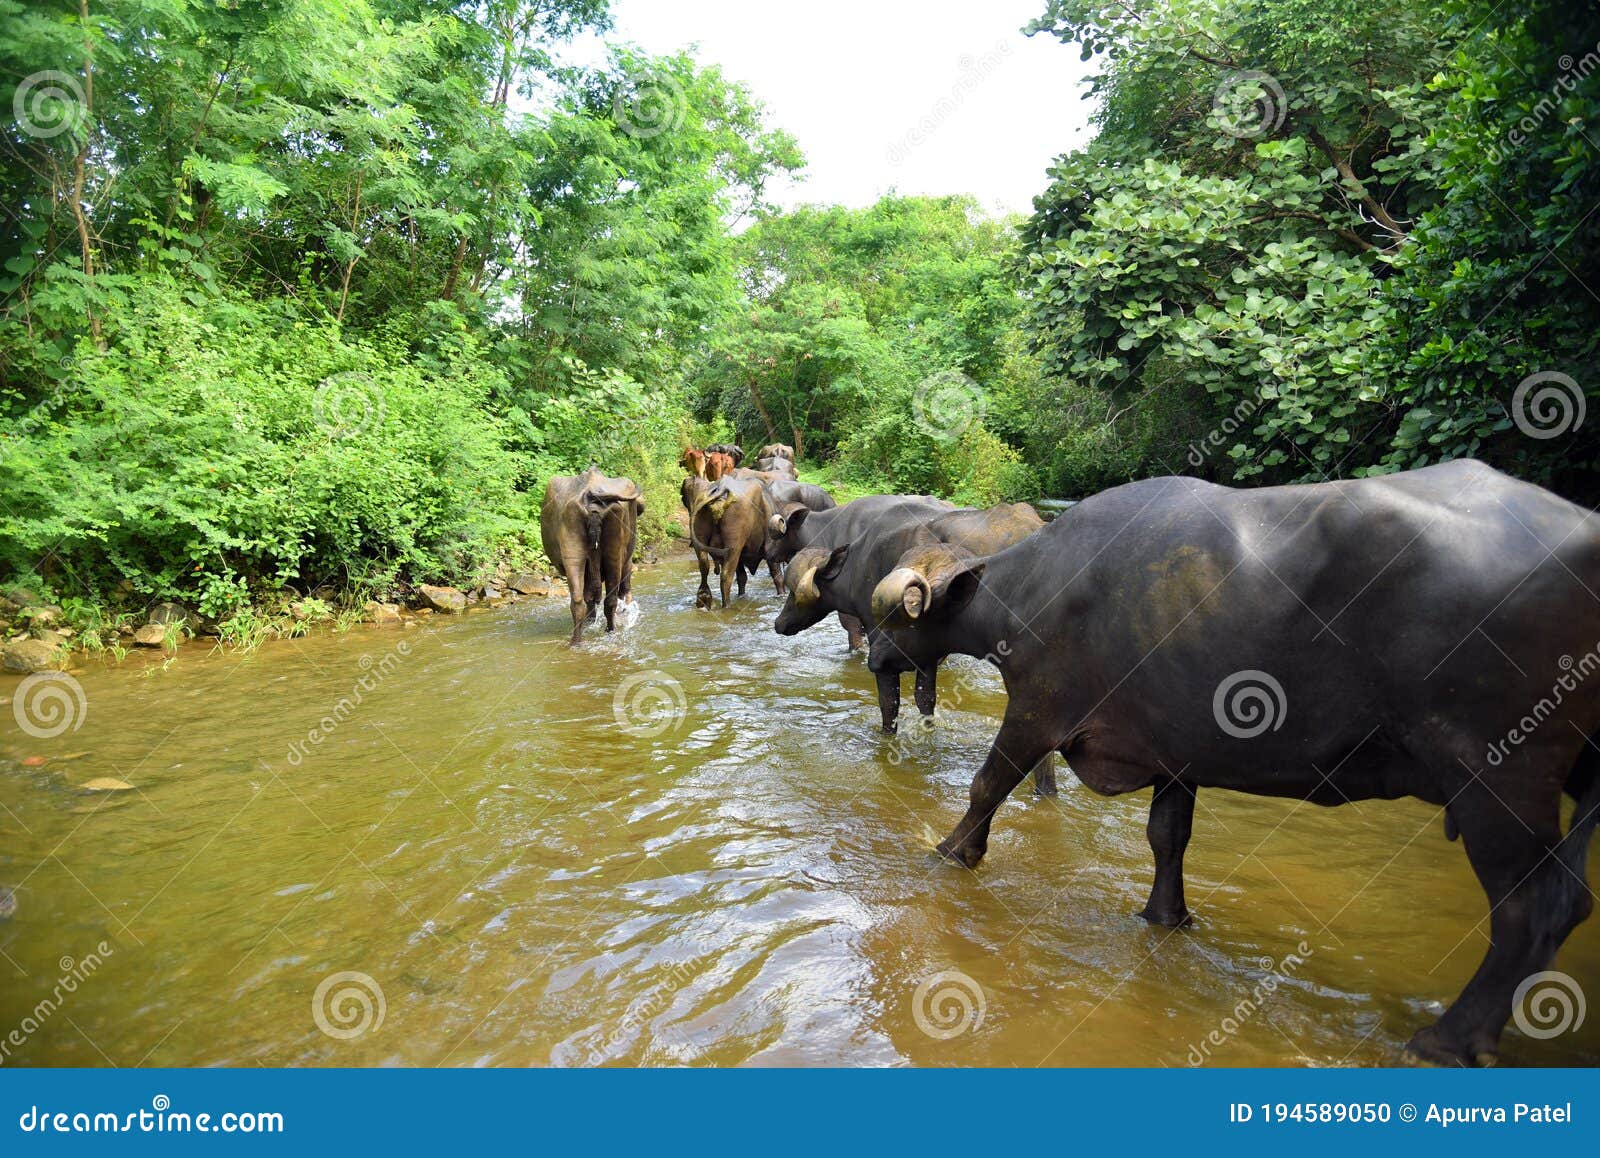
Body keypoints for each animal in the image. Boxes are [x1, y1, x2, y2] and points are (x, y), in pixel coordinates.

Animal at [540, 468, 643, 644]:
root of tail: (591, 496)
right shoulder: (628, 562)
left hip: (574, 554)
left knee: (579, 601)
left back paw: (577, 641)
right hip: (614, 556)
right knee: (609, 600)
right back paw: (609, 631)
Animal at [876, 460, 1600, 1066]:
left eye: (894, 616)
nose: (873, 653)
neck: (1034, 588)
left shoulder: (1038, 708)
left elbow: (988, 784)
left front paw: (952, 850)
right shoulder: (1175, 751)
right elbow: (1168, 837)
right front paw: (1165, 916)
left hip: (1497, 774)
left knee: (1533, 907)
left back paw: (1447, 1038)